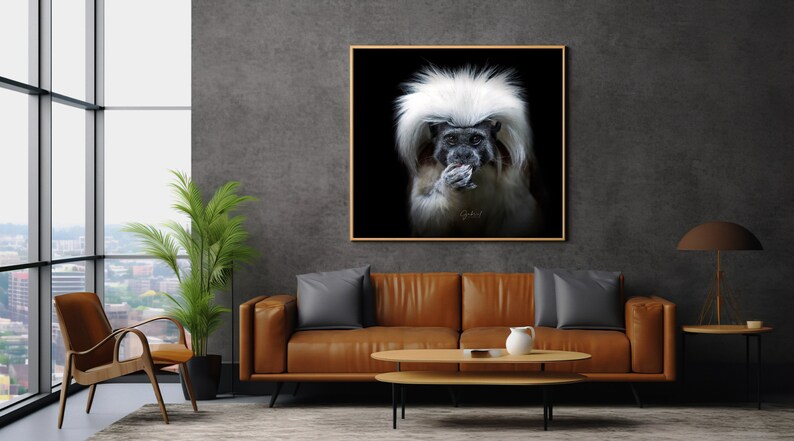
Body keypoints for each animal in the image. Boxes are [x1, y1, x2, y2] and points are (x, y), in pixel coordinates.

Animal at [394, 65, 543, 237]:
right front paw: (449, 185)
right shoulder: (425, 166)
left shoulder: (513, 171)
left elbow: (518, 215)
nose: (463, 155)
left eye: (475, 139)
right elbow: (424, 216)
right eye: (451, 139)